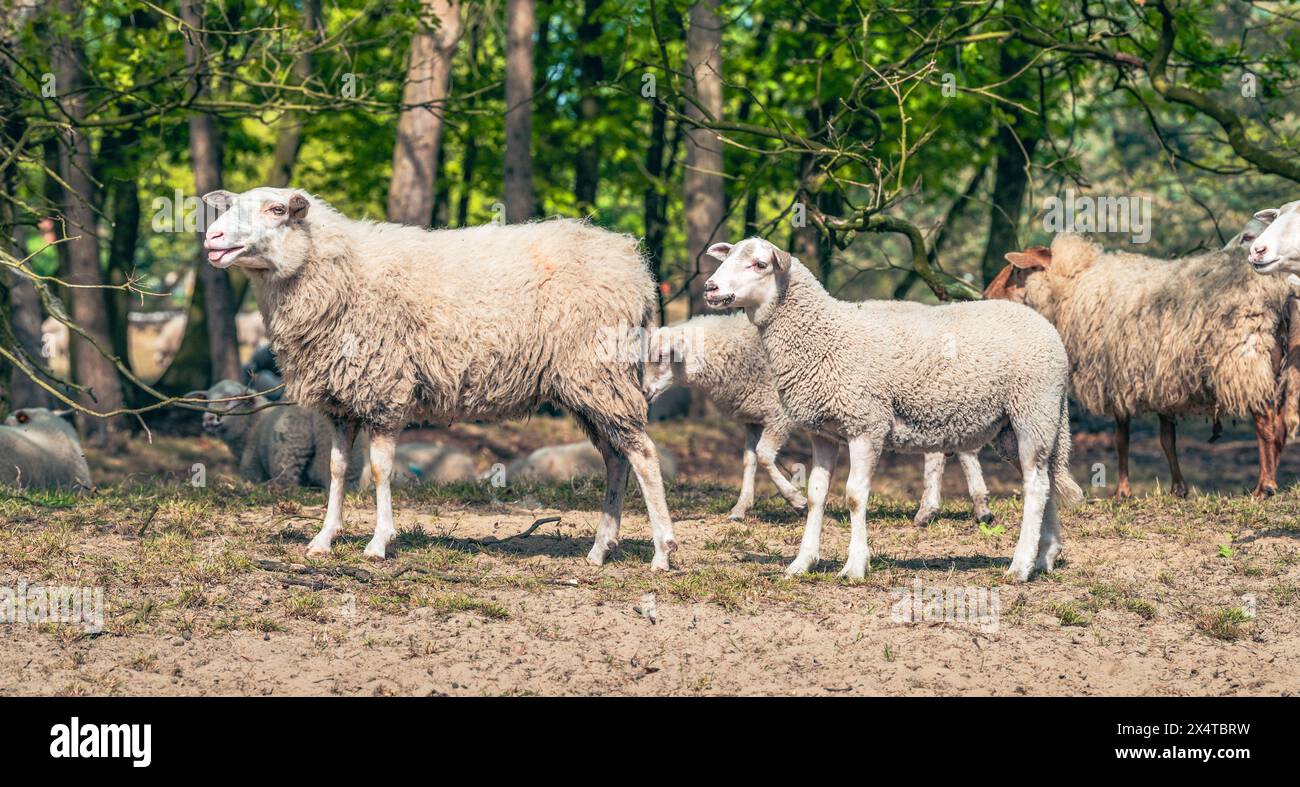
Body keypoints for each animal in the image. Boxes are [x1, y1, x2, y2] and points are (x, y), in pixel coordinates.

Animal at [200, 187, 678, 568]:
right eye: (231, 206)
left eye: (277, 209)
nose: (212, 238)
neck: (337, 271)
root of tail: (635, 268)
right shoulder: (341, 401)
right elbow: (337, 469)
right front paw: (323, 538)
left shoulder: (384, 388)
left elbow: (379, 469)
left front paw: (379, 543)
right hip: (590, 385)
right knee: (617, 459)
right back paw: (600, 549)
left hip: (599, 372)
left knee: (643, 456)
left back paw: (662, 550)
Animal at [643, 312, 993, 525]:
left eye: (661, 356)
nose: (645, 392)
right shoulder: (753, 418)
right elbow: (749, 461)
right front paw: (741, 508)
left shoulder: (779, 413)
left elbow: (765, 457)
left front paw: (796, 500)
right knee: (954, 449)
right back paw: (973, 509)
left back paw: (944, 508)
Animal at [703, 238, 1081, 582]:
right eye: (729, 257)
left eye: (760, 264)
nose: (710, 287)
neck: (824, 335)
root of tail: (1049, 331)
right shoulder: (823, 431)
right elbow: (815, 496)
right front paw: (801, 563)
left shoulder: (865, 423)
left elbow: (855, 496)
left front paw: (855, 567)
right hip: (1017, 427)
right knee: (1047, 480)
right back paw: (1045, 557)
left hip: (1033, 409)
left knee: (1035, 487)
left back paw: (1020, 566)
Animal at [987, 232, 1293, 497]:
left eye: (1015, 270)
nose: (987, 294)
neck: (1074, 284)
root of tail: (1276, 291)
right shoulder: (1160, 379)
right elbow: (1167, 439)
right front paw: (1178, 490)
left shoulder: (1115, 377)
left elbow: (1121, 440)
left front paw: (1121, 492)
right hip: (1278, 364)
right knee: (1279, 427)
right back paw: (1274, 481)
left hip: (1245, 360)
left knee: (1265, 424)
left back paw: (1264, 486)